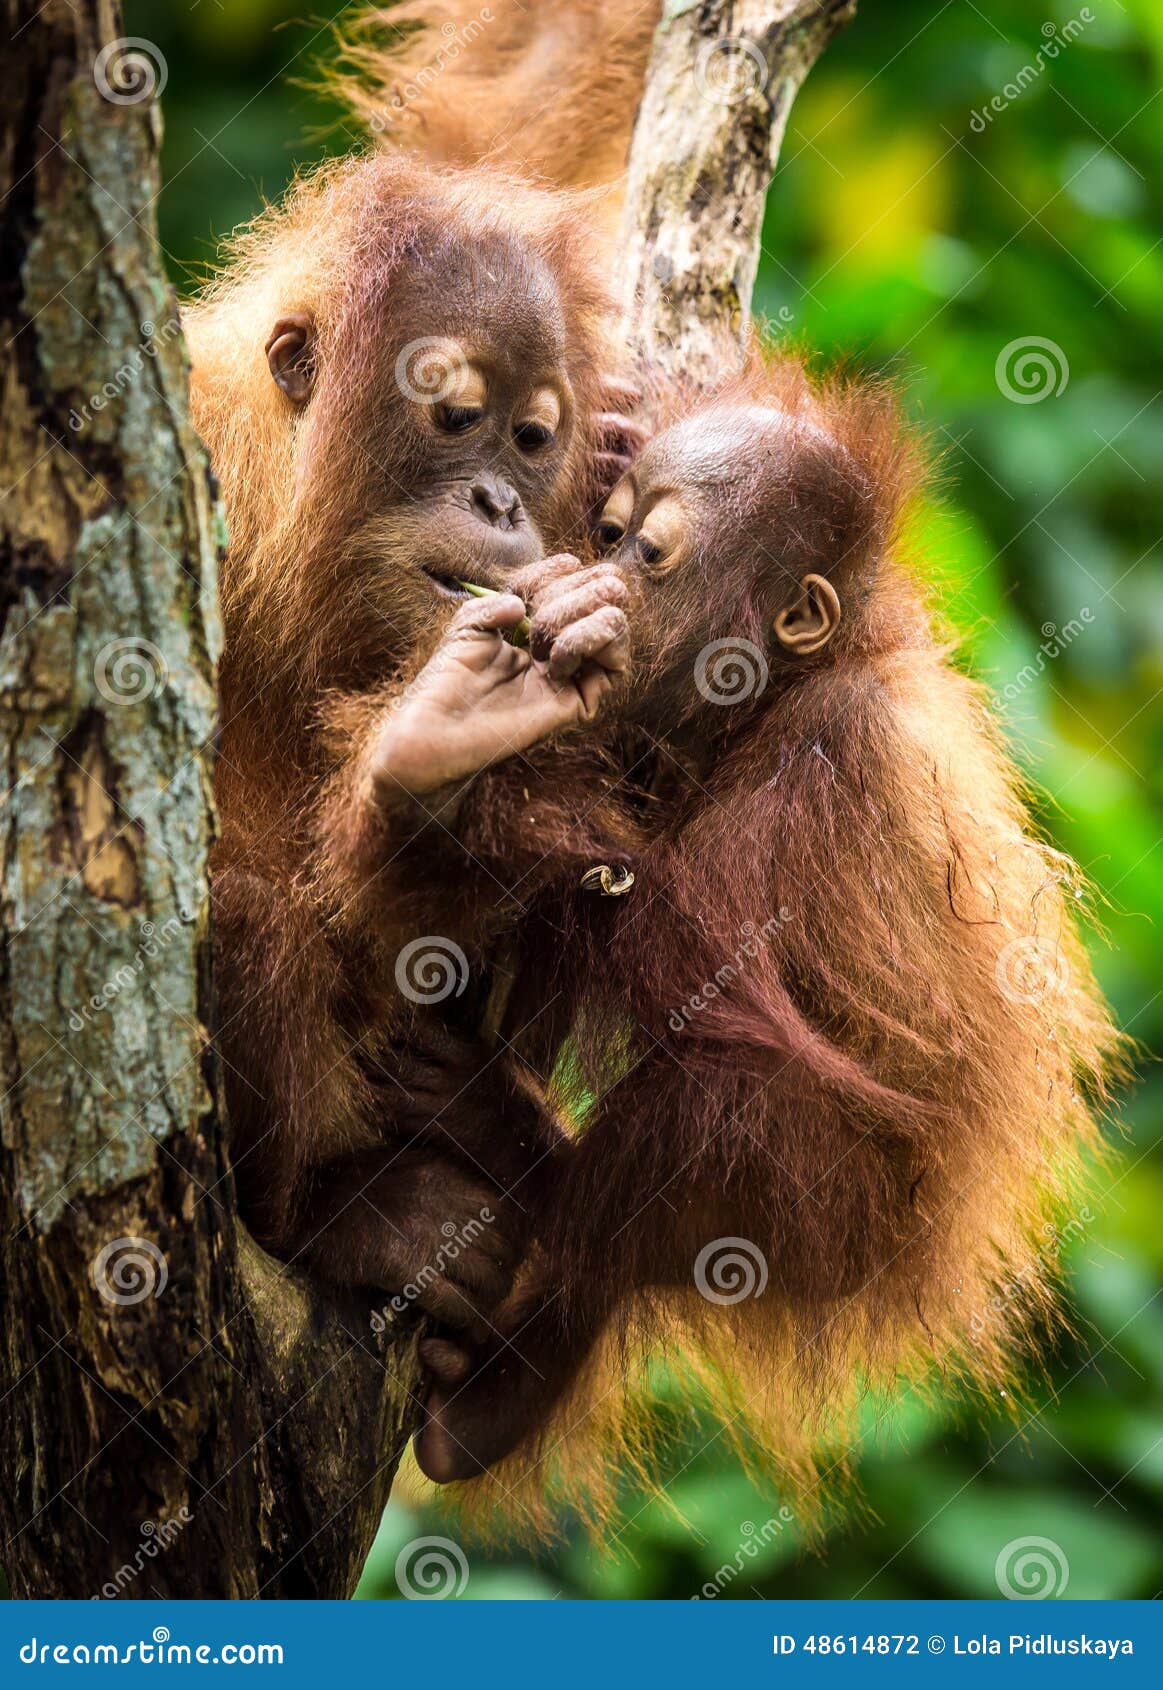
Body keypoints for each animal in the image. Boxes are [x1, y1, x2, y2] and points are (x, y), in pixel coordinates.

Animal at [404, 359, 1123, 1517]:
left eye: (647, 555)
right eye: (607, 532)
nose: (595, 573)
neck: (773, 700)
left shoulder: (824, 760)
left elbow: (710, 973)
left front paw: (487, 775)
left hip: (842, 1218)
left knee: (717, 1106)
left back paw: (517, 1167)